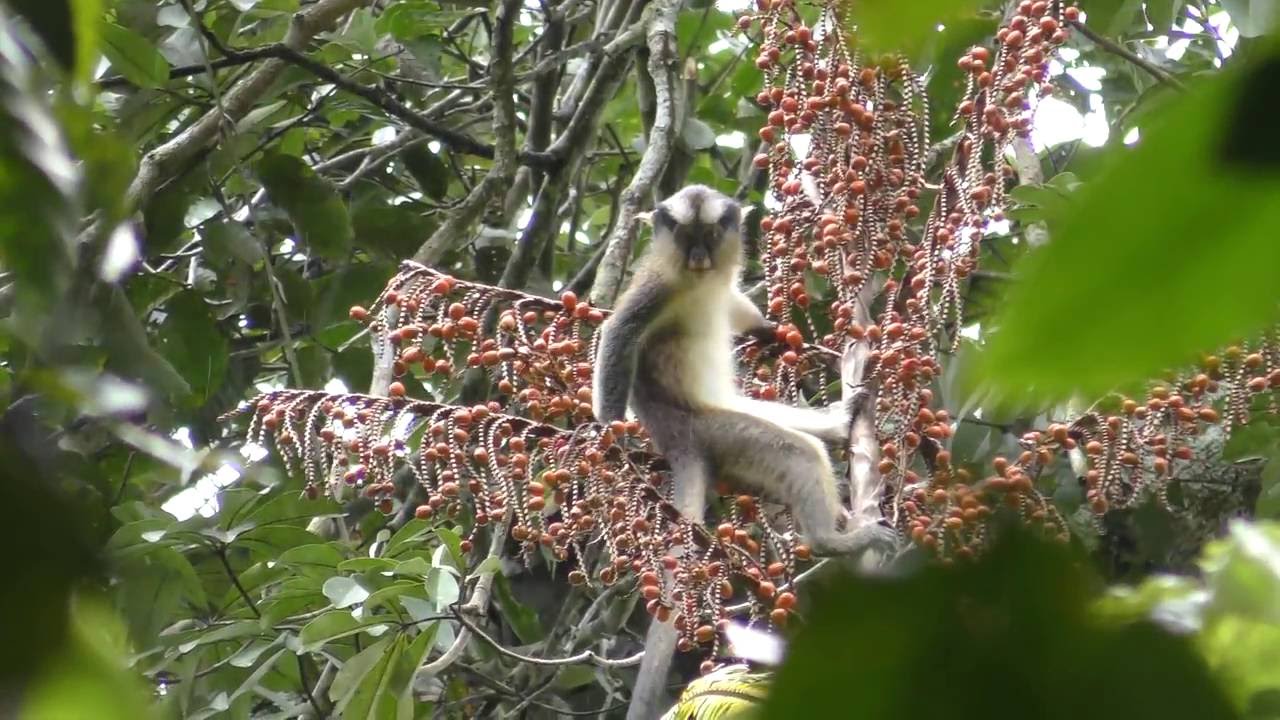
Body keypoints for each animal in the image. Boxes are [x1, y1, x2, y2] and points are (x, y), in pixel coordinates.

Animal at [591, 185, 897, 720]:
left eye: (711, 235)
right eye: (687, 237)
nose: (698, 257)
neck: (697, 280)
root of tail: (676, 439)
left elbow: (736, 309)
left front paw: (772, 333)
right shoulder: (657, 287)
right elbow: (619, 335)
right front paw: (611, 434)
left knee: (799, 433)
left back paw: (838, 424)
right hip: (717, 430)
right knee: (798, 453)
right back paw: (832, 542)